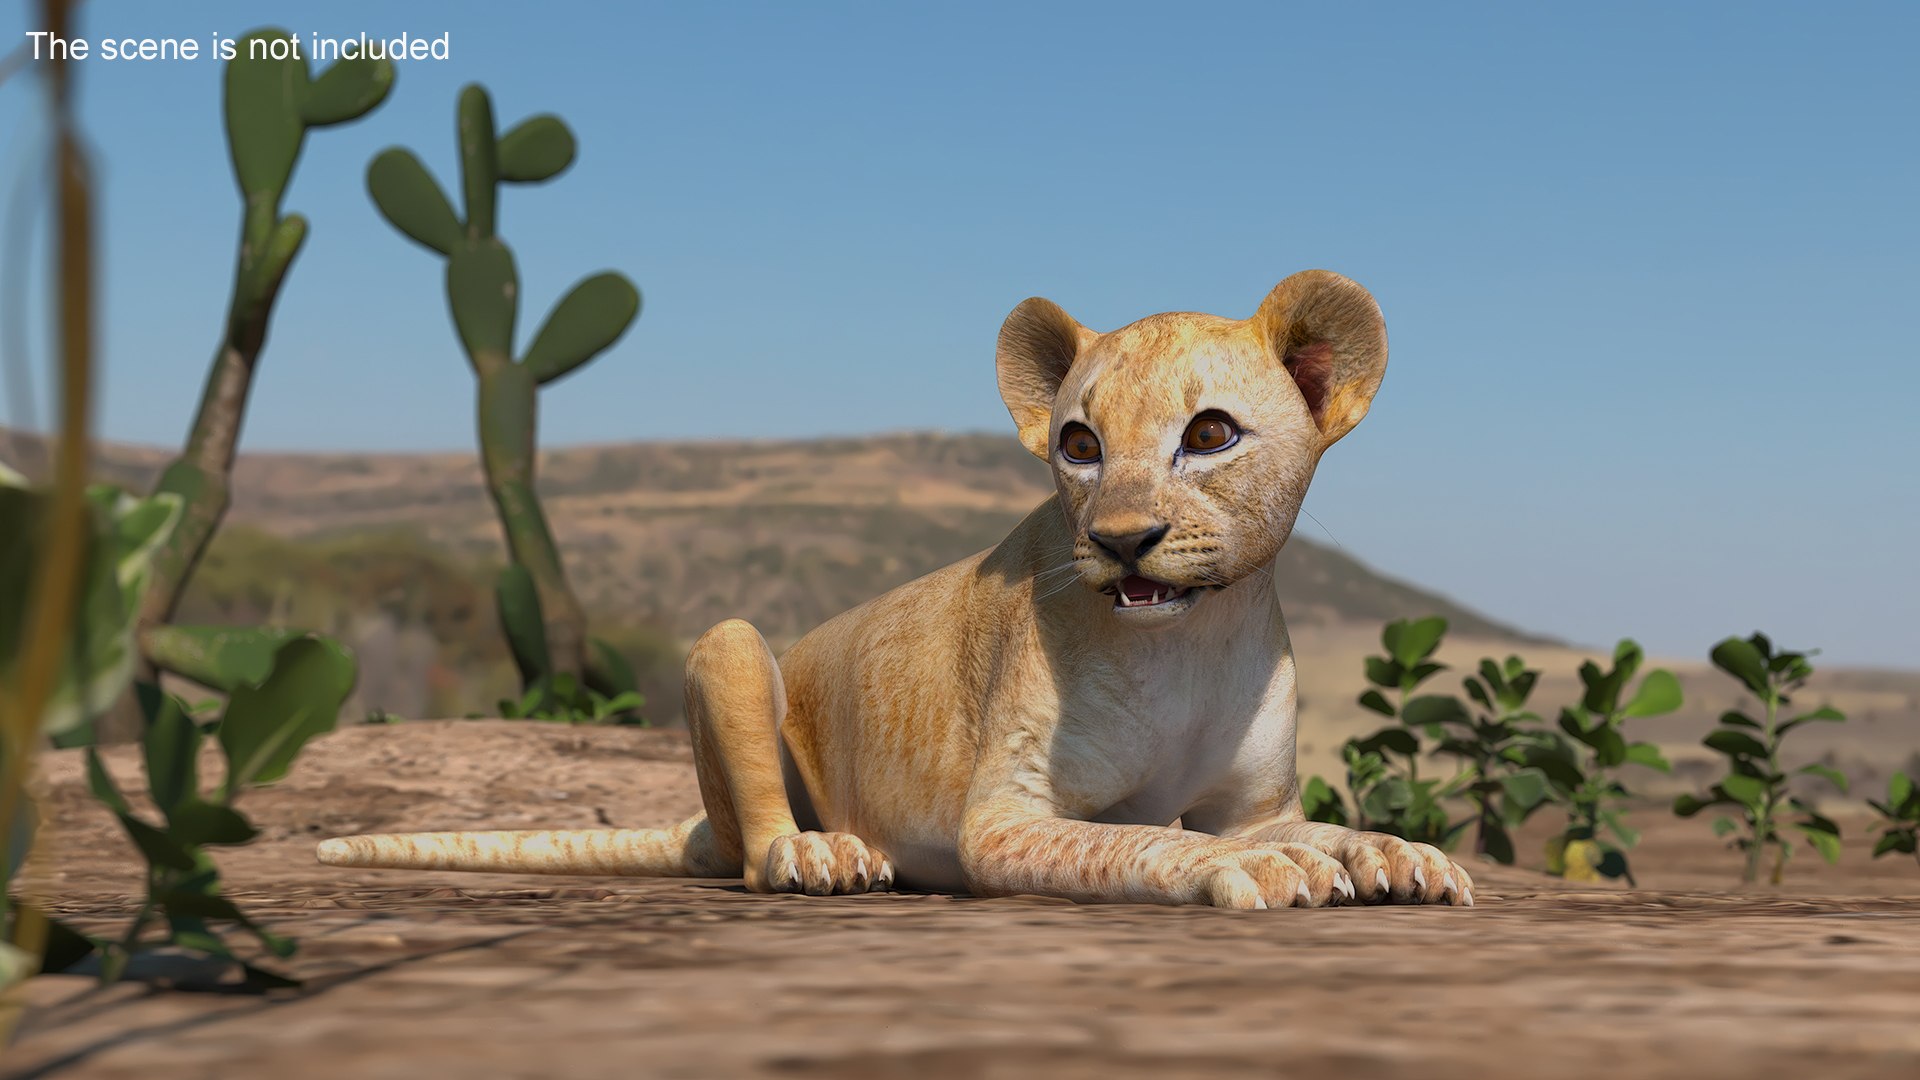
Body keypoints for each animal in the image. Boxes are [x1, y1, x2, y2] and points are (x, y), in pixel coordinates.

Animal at [319, 270, 1476, 908]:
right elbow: (1146, 838)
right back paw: (823, 854)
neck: (1188, 643)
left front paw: (1398, 855)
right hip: (732, 648)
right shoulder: (1003, 820)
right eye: (1080, 445)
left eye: (1210, 434)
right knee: (757, 845)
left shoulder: (1252, 806)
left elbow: (1310, 829)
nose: (1121, 541)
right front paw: (1273, 876)